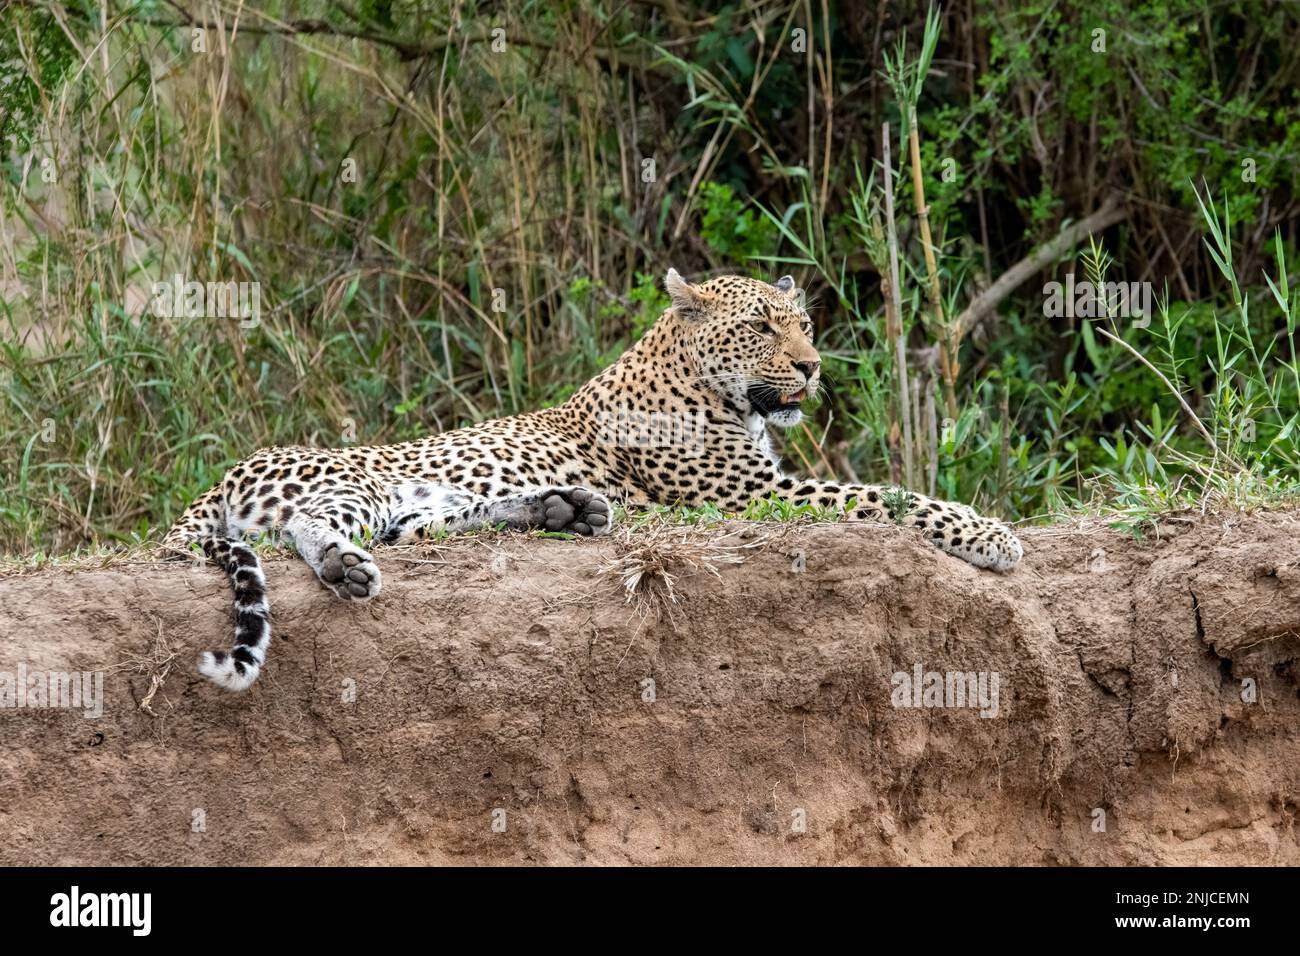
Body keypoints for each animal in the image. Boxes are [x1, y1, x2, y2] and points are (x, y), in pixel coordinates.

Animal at [164, 269, 1023, 691]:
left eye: (804, 325)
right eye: (761, 327)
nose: (813, 369)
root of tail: (228, 470)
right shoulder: (754, 494)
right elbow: (888, 495)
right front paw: (990, 534)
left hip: (417, 507)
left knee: (429, 527)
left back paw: (567, 508)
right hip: (353, 485)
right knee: (314, 527)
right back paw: (348, 566)